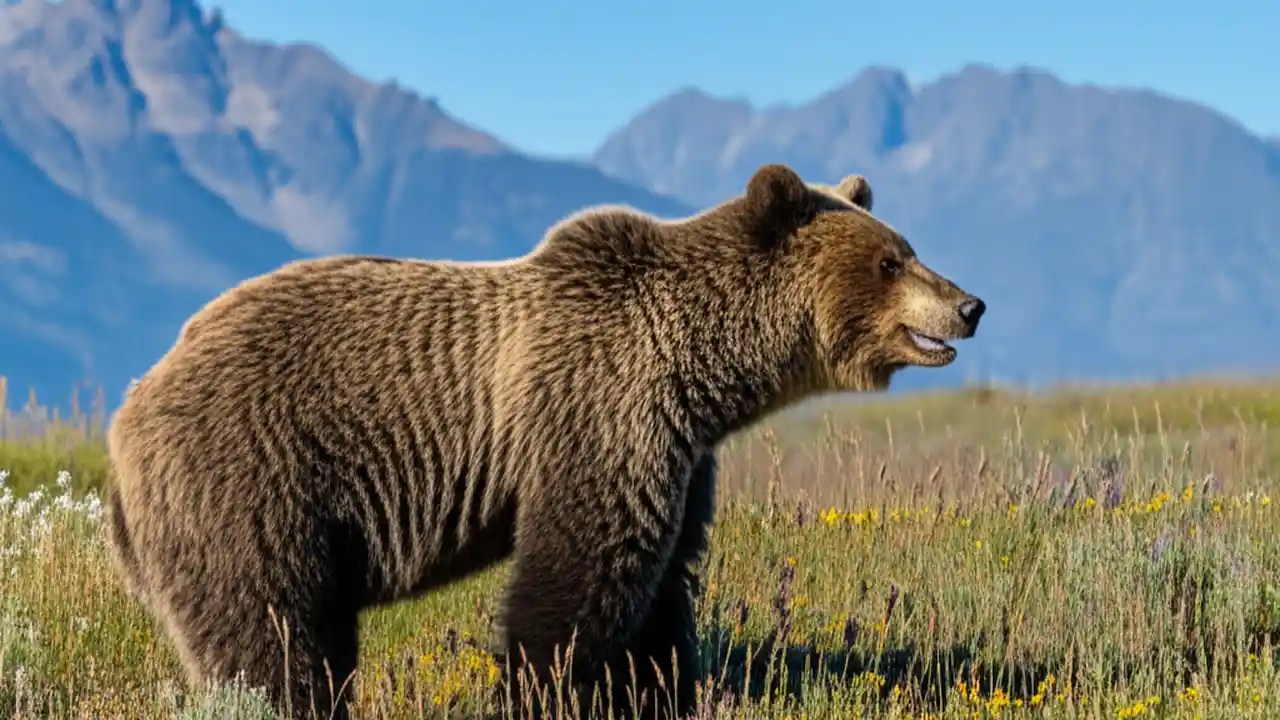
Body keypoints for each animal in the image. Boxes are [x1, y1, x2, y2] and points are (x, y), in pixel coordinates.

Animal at [104, 162, 985, 720]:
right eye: (891, 260)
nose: (969, 304)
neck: (700, 371)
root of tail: (129, 406)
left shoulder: (680, 453)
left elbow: (660, 592)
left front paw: (658, 690)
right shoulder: (597, 407)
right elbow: (573, 584)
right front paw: (541, 688)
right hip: (251, 477)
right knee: (270, 636)